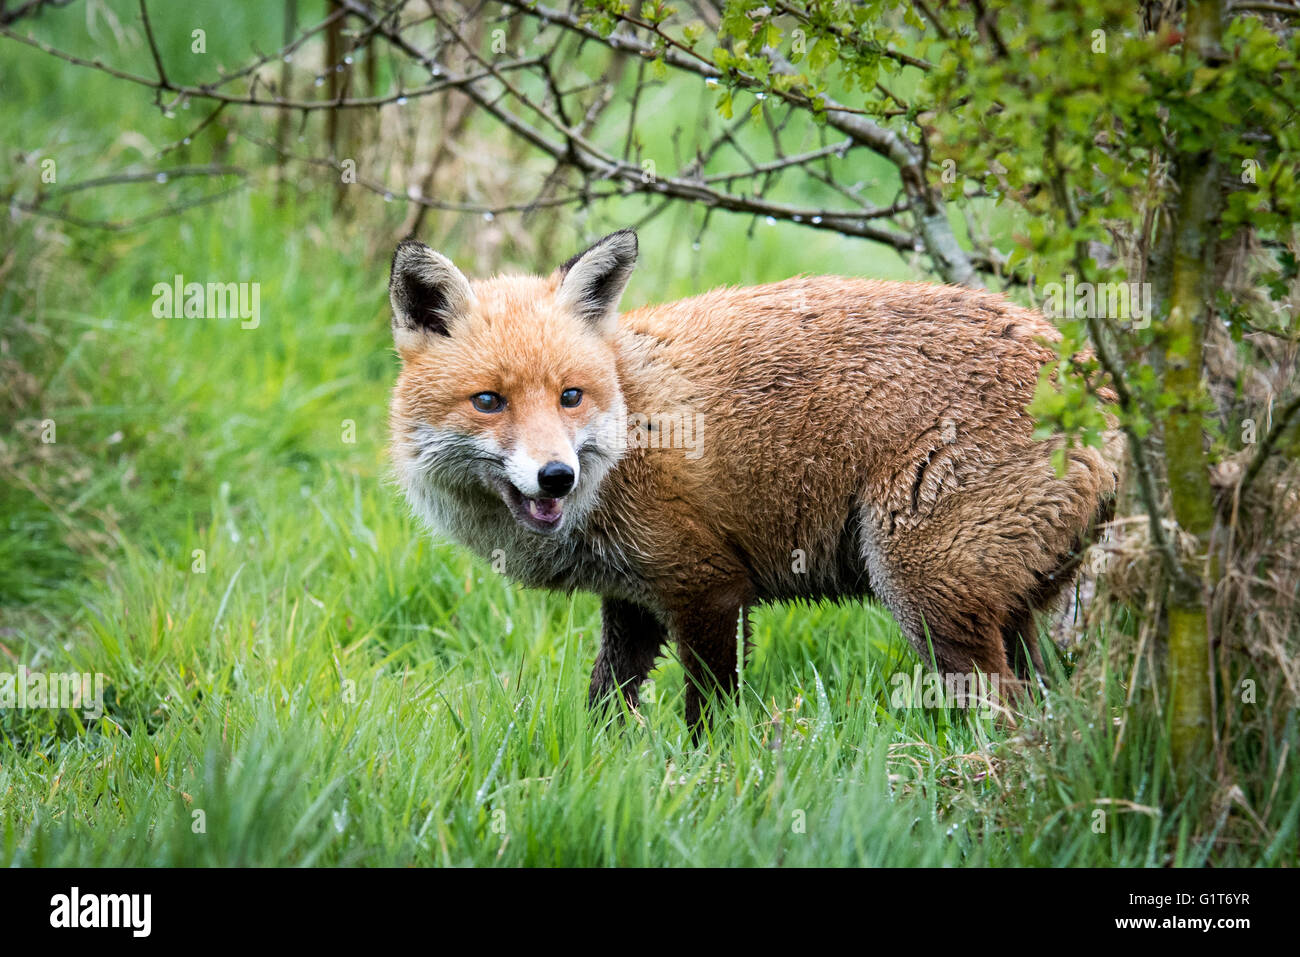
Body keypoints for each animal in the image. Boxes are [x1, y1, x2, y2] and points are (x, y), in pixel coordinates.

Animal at [387, 228, 1121, 730]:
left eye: (570, 396)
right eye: (489, 401)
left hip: (922, 590)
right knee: (1044, 704)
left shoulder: (709, 585)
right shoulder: (631, 601)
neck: (632, 420)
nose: (556, 477)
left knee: (1008, 713)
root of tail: (1104, 388)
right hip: (1007, 608)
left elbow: (707, 715)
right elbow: (605, 707)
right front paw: (594, 771)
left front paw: (699, 780)